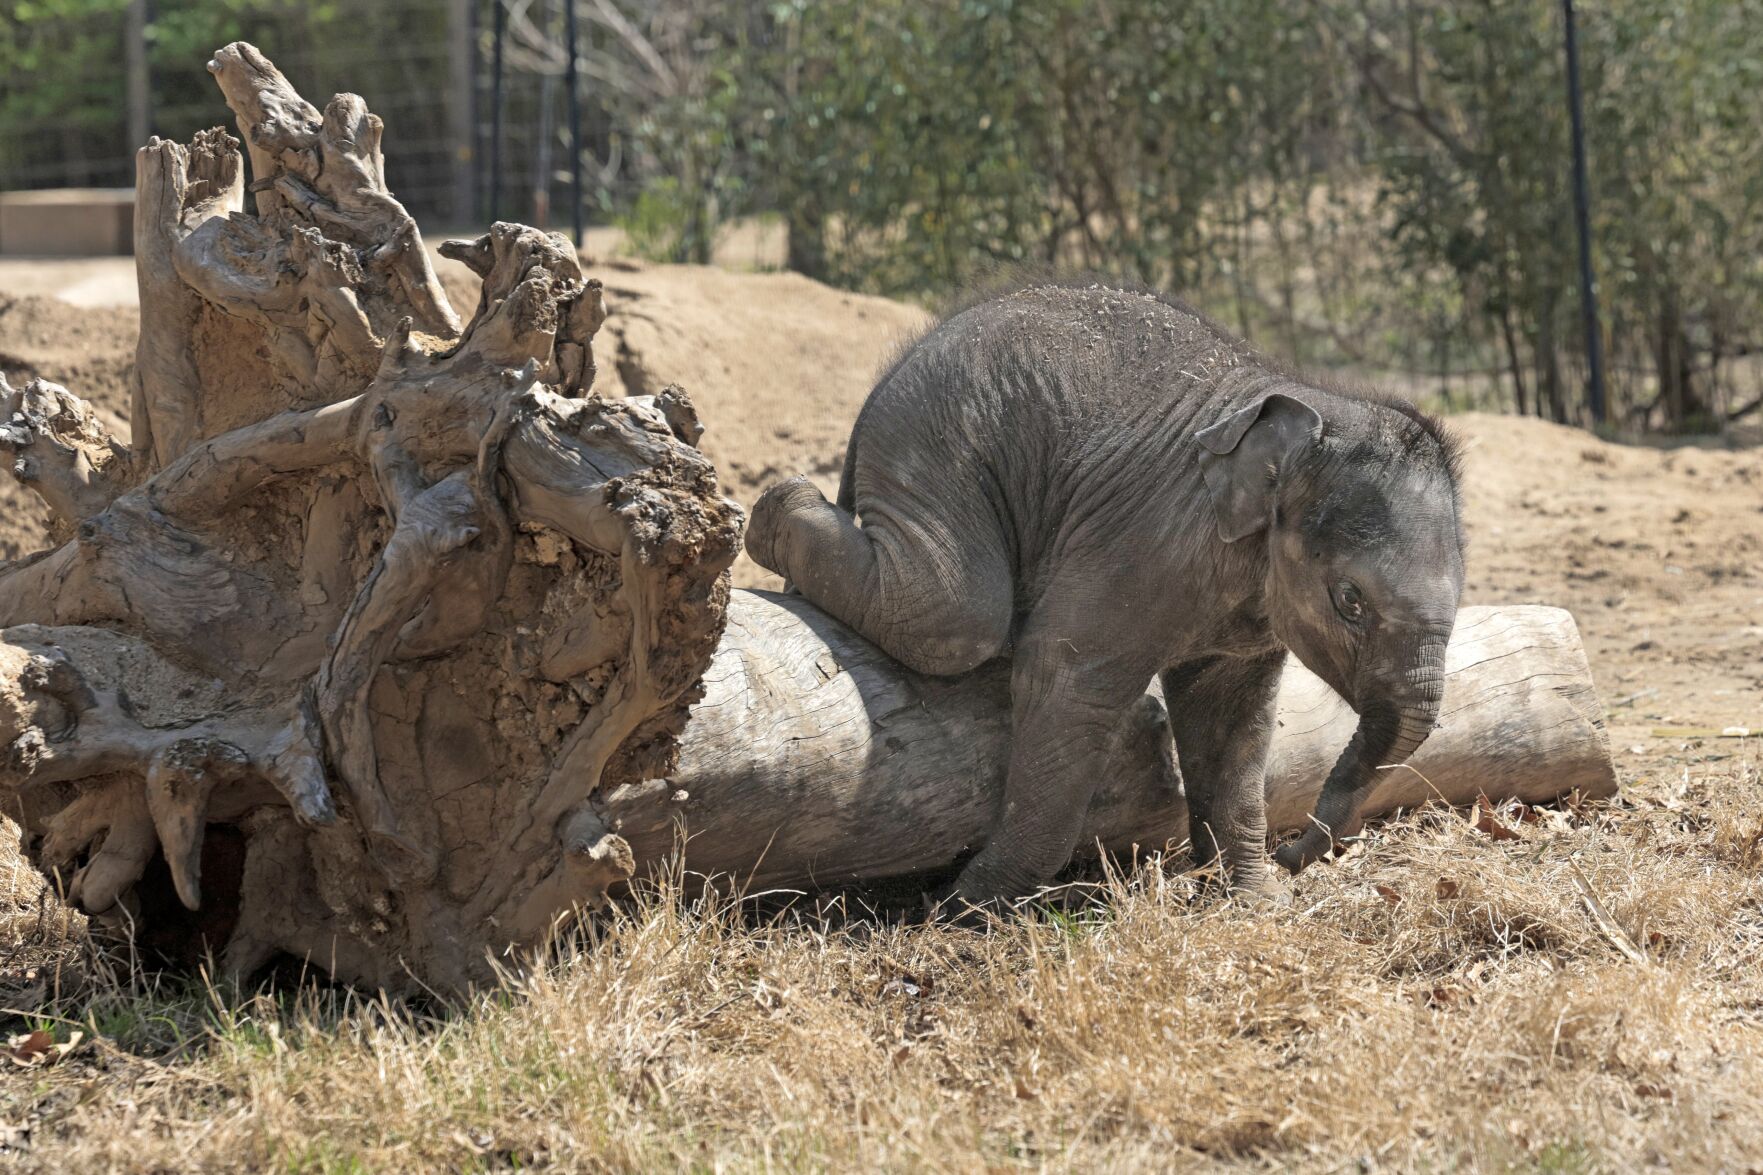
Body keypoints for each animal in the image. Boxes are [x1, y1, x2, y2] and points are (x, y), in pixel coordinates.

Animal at [746, 281, 1466, 905]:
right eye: (1350, 601)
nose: (1298, 854)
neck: (1305, 404)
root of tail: (888, 377)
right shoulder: (1141, 542)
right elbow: (1070, 680)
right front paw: (963, 908)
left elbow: (1231, 717)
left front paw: (1252, 902)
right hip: (938, 440)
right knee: (951, 610)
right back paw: (776, 507)